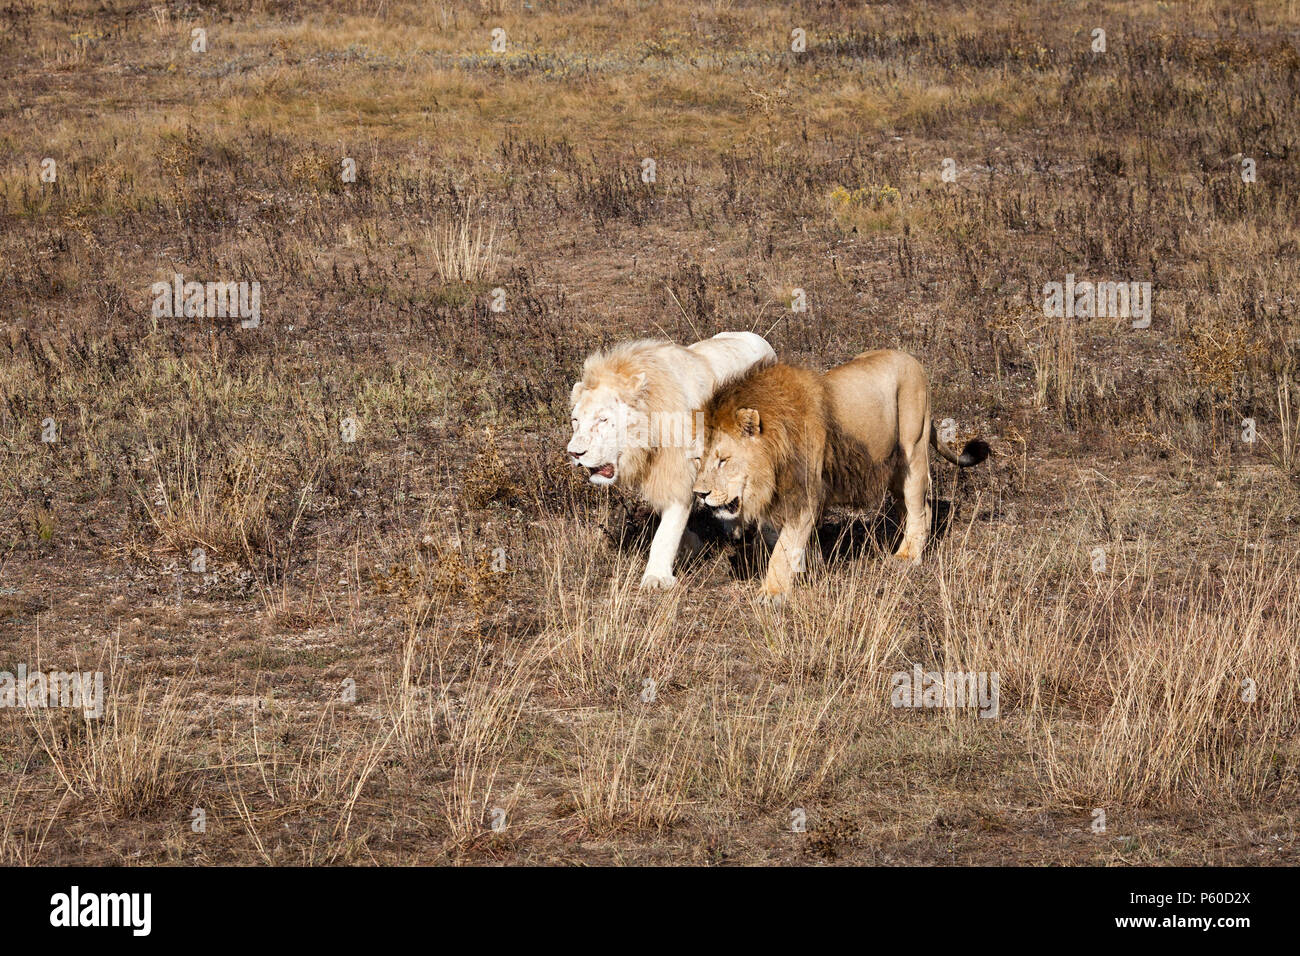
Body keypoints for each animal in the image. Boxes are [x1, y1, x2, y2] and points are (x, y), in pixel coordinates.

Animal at [567, 331, 776, 589]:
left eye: (603, 419)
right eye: (575, 420)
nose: (574, 453)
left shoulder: (681, 470)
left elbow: (666, 532)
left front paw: (656, 577)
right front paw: (691, 546)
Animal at [691, 349, 989, 600]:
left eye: (723, 460)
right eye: (699, 459)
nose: (700, 494)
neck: (773, 464)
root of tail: (910, 358)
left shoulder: (806, 495)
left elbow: (784, 548)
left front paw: (772, 592)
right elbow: (793, 543)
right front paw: (809, 570)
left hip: (914, 448)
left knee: (919, 506)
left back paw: (908, 556)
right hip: (894, 468)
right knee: (913, 505)